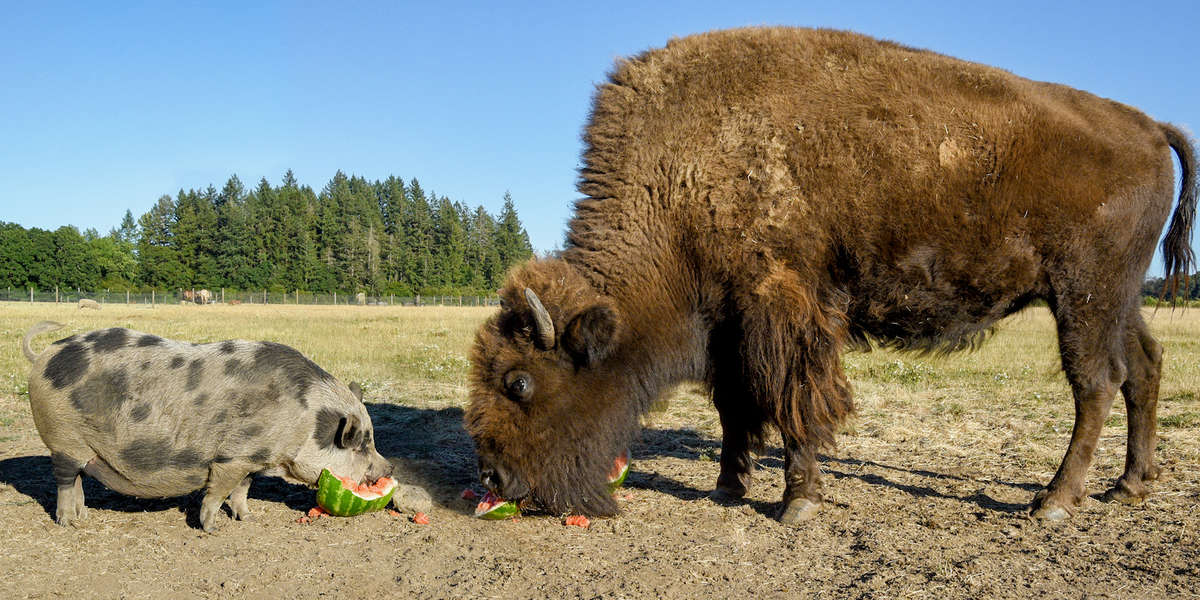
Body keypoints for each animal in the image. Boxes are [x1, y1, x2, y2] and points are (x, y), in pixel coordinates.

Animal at [21, 321, 393, 532]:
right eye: (361, 443)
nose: (388, 467)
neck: (305, 420)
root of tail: (43, 356)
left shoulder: (253, 459)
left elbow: (243, 491)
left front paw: (249, 520)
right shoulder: (233, 456)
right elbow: (218, 491)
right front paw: (212, 529)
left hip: (78, 447)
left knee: (78, 479)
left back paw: (82, 518)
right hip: (62, 439)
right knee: (65, 480)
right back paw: (69, 524)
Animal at [464, 27, 1196, 523]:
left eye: (520, 382)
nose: (495, 479)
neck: (680, 171)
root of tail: (1148, 125)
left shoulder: (781, 305)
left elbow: (795, 399)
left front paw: (797, 503)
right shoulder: (727, 322)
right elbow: (736, 405)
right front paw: (729, 486)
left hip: (1083, 295)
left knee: (1096, 382)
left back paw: (1055, 501)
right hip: (1118, 297)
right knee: (1145, 367)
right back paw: (1128, 486)